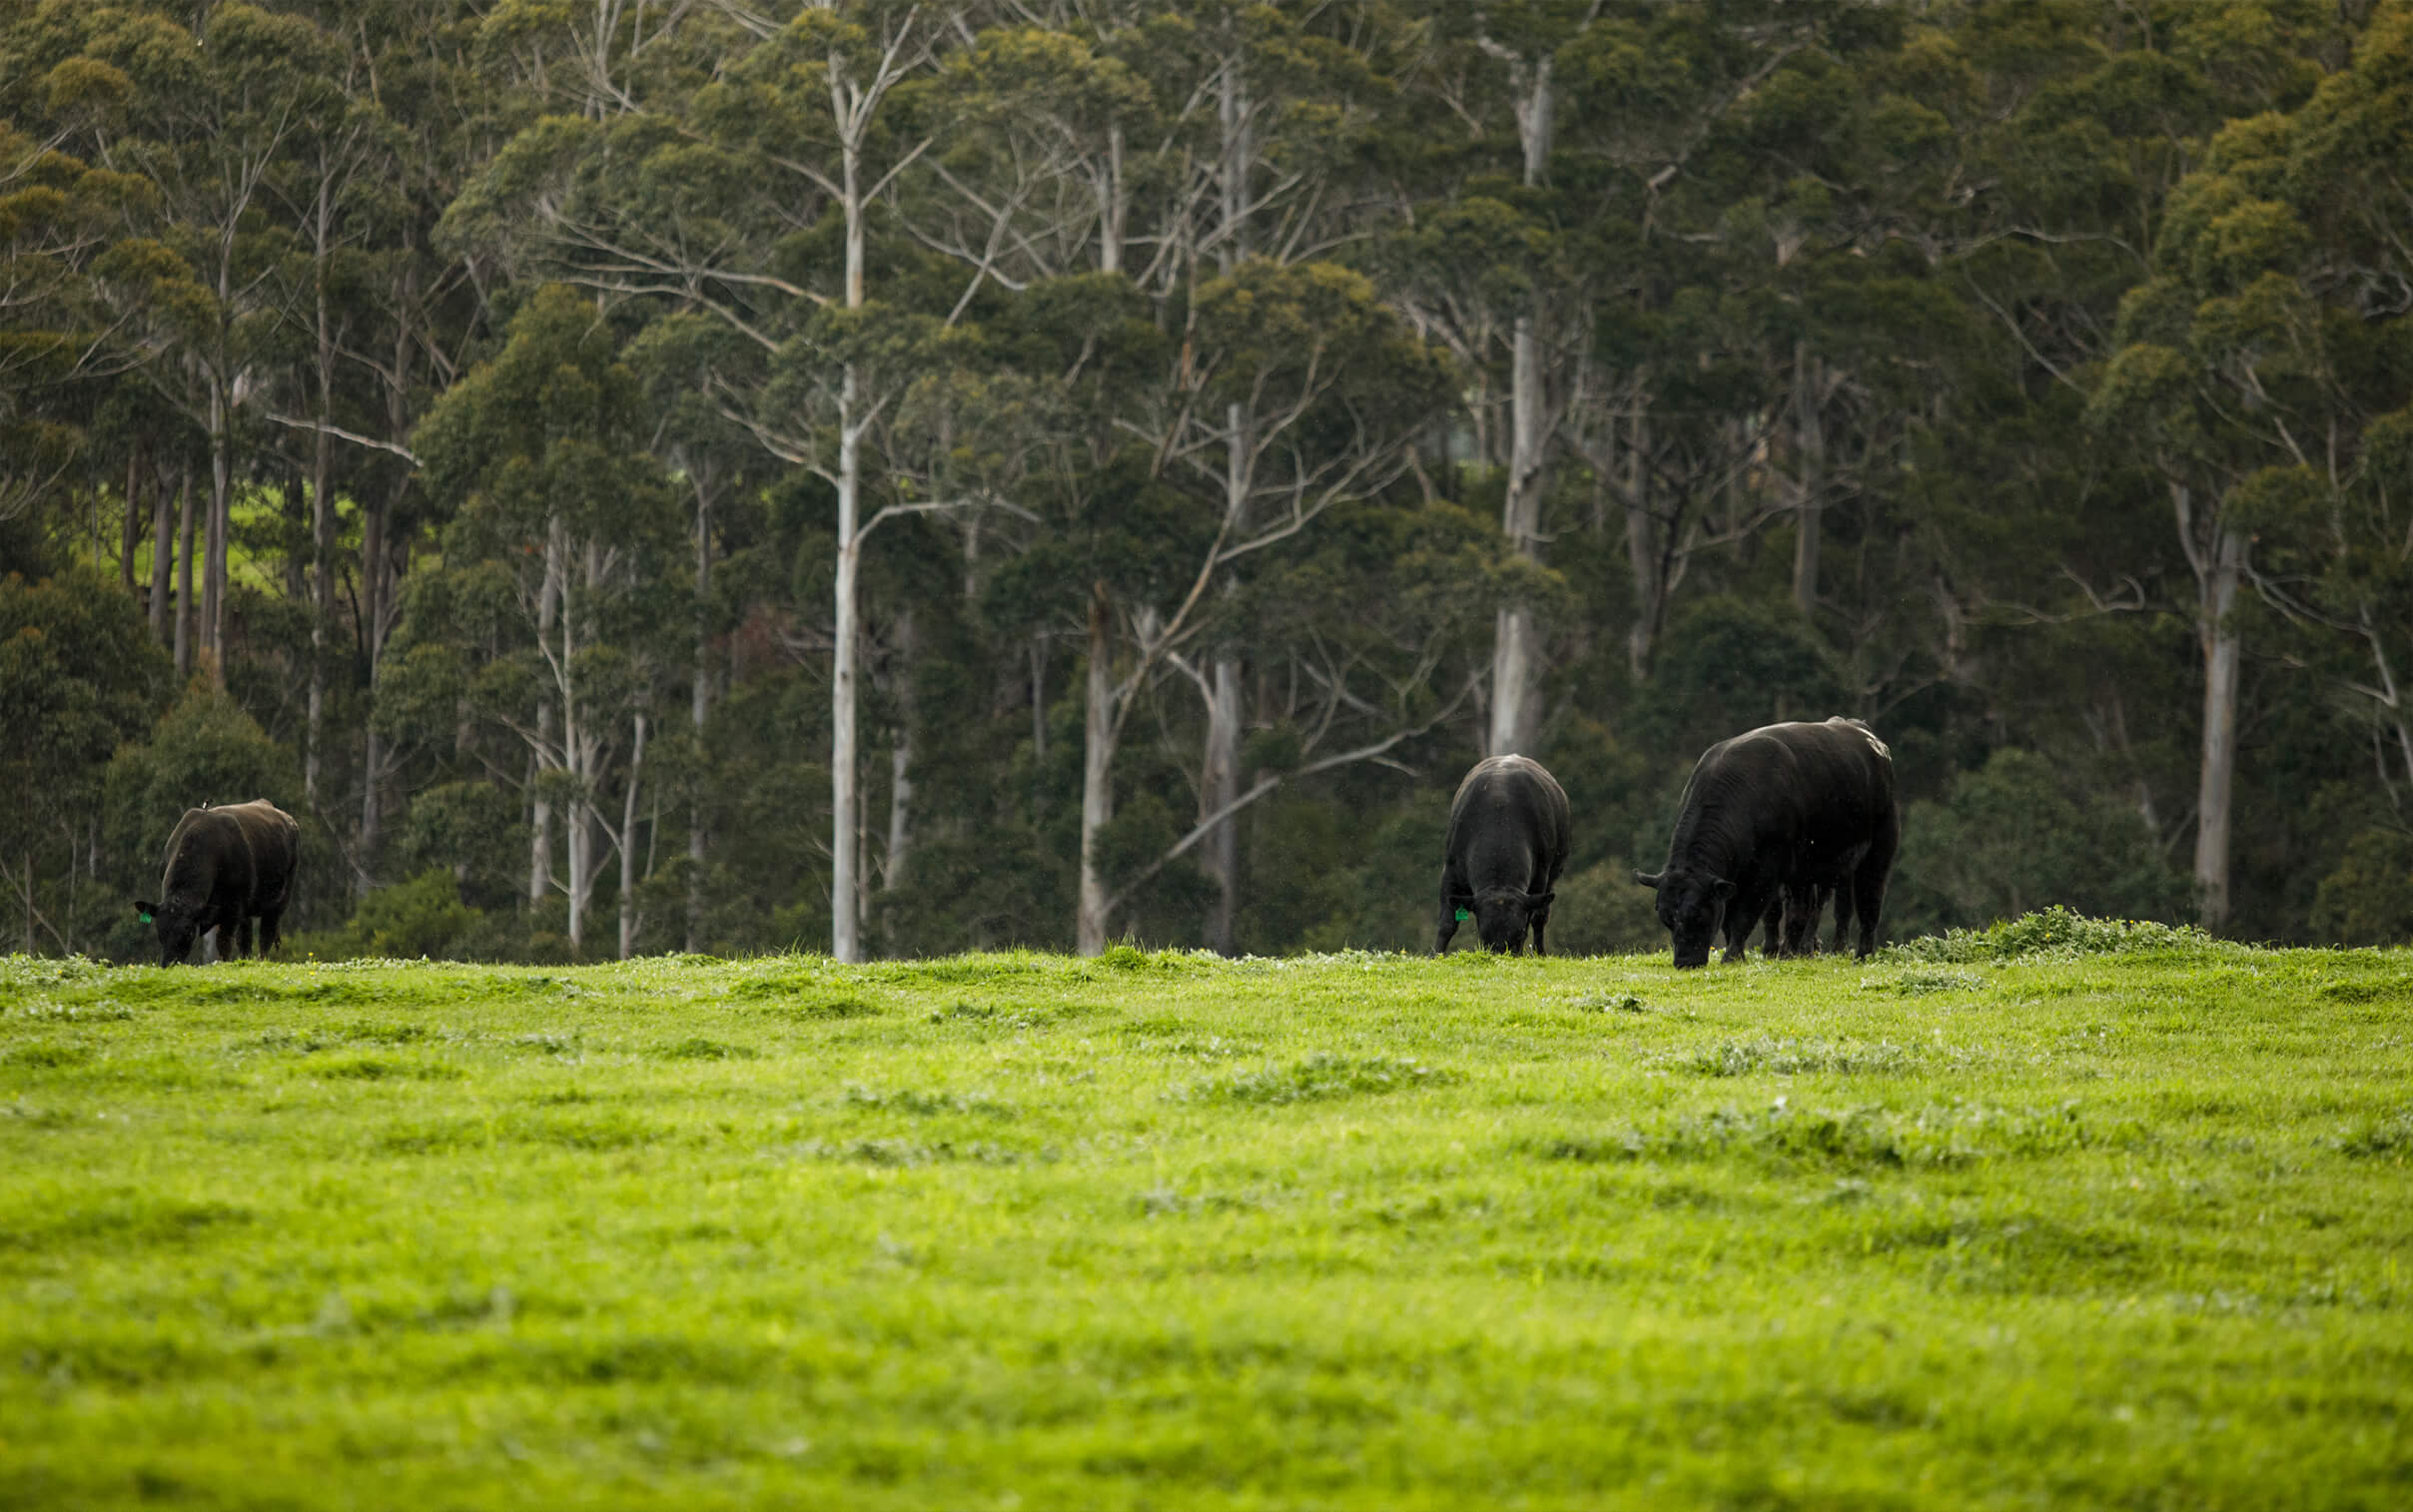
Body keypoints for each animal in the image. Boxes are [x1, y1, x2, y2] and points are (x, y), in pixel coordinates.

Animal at [134, 799, 302, 966]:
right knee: (245, 938)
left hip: (280, 899)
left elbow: (223, 942)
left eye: (188, 932)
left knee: (266, 934)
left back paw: (261, 960)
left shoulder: (233, 908)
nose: (168, 963)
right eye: (160, 932)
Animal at [1435, 754, 1571, 955]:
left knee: (1540, 917)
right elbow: (1447, 924)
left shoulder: (1540, 877)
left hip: (1552, 875)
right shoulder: (1451, 870)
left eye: (1519, 935)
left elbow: (1532, 917)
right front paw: (1434, 954)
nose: (1502, 954)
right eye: (1484, 936)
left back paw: (1540, 952)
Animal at [1634, 717, 1897, 968]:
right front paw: (1753, 953)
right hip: (1809, 865)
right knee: (1804, 907)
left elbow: (1746, 914)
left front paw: (1733, 955)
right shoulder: (1738, 877)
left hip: (1878, 849)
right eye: (1667, 919)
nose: (1685, 962)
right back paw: (1793, 951)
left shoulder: (1766, 869)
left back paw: (1858, 954)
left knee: (1867, 901)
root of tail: (1866, 736)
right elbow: (1745, 916)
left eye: (1698, 915)